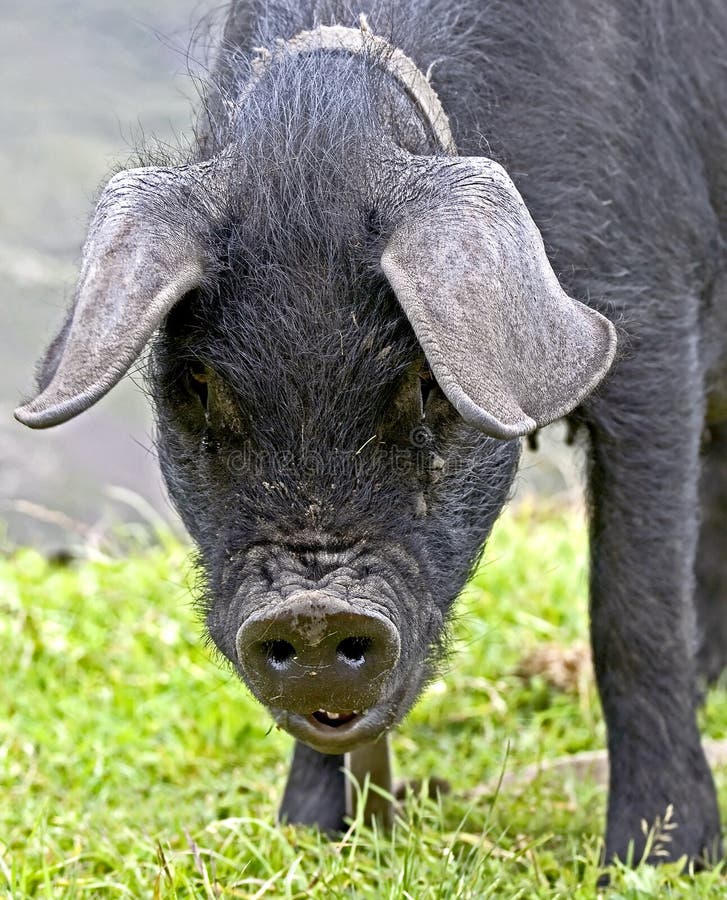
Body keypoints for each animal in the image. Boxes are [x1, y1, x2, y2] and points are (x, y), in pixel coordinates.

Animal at [15, 0, 727, 870]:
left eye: (424, 384)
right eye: (202, 385)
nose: (313, 616)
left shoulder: (654, 320)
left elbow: (631, 606)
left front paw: (661, 860)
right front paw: (306, 833)